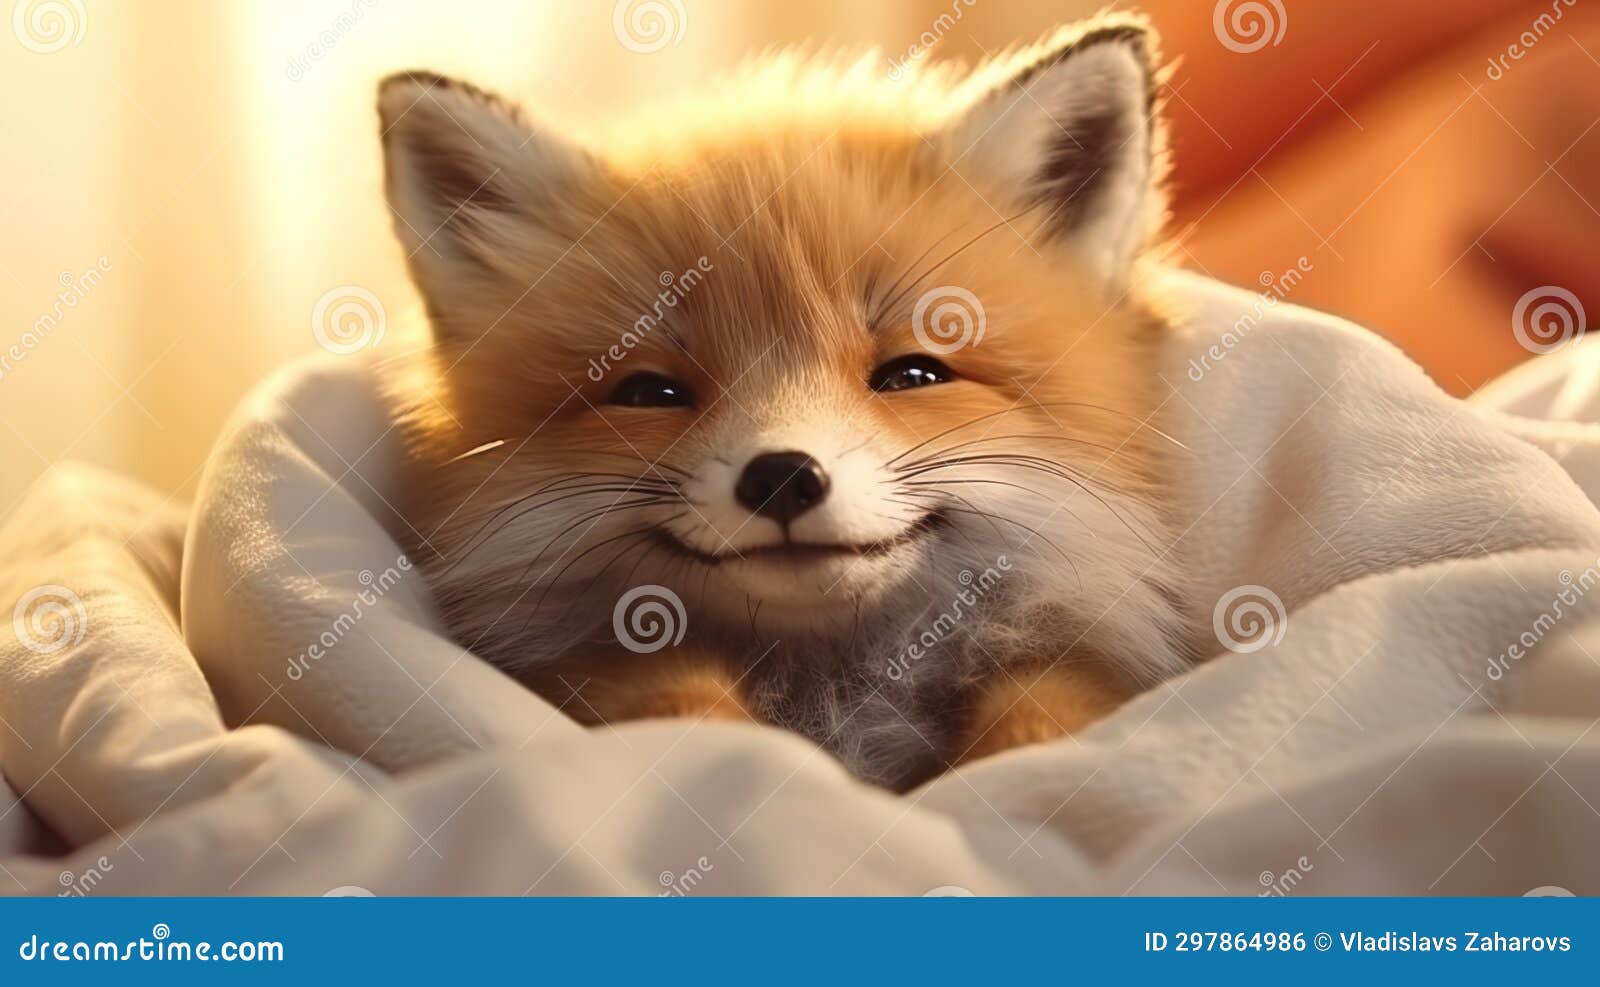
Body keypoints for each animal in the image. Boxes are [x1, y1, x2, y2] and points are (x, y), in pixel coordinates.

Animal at [380, 13, 1192, 790]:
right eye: (649, 392)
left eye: (912, 375)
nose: (783, 477)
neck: (832, 690)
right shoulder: (600, 665)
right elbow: (678, 707)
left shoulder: (1064, 662)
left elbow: (1046, 719)